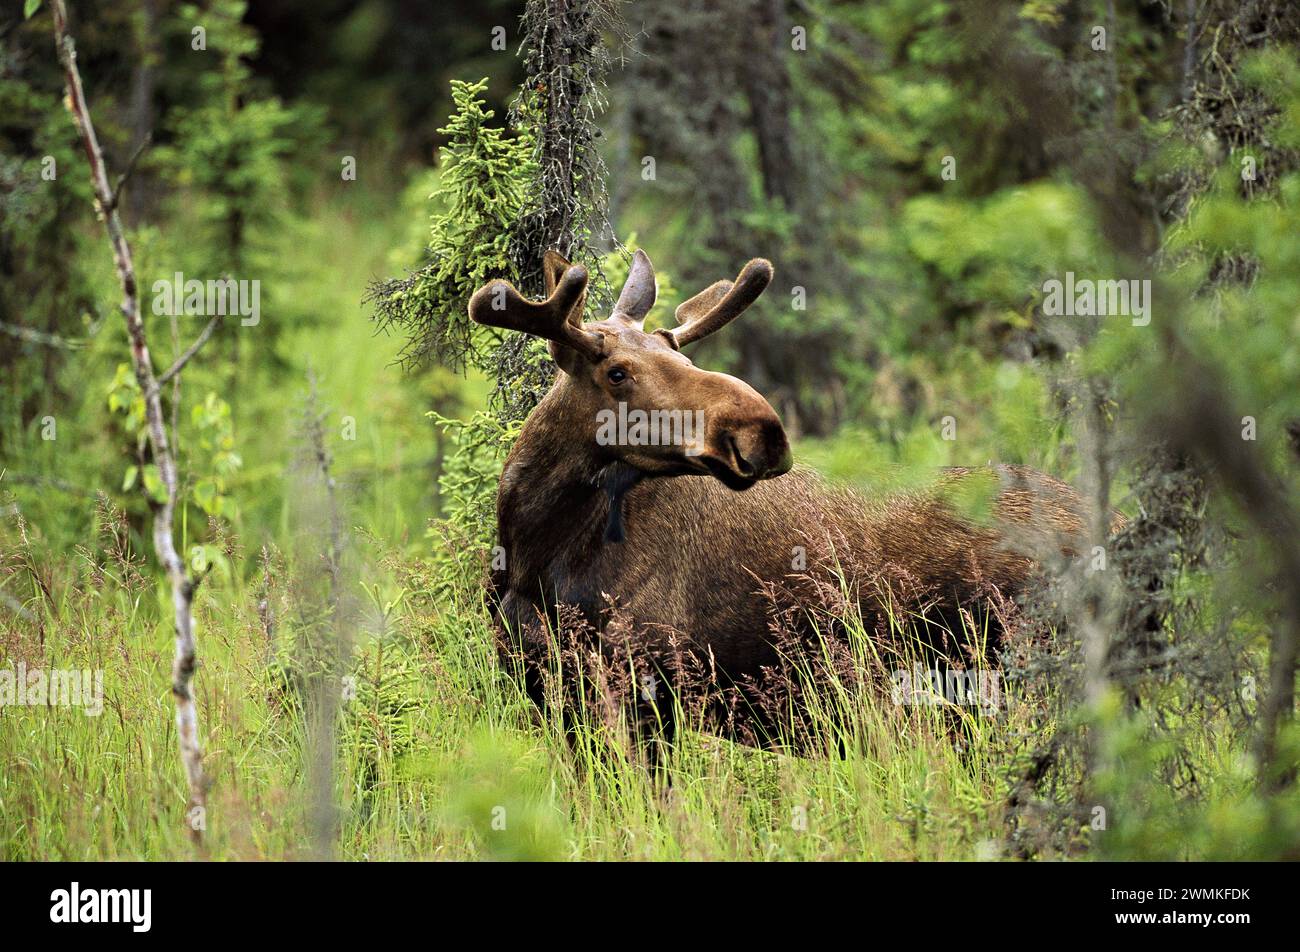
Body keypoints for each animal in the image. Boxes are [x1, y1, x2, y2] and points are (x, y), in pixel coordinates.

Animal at [469, 249, 1101, 755]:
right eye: (617, 373)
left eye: (686, 360)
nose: (764, 432)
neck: (534, 550)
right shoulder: (553, 688)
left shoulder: (651, 683)